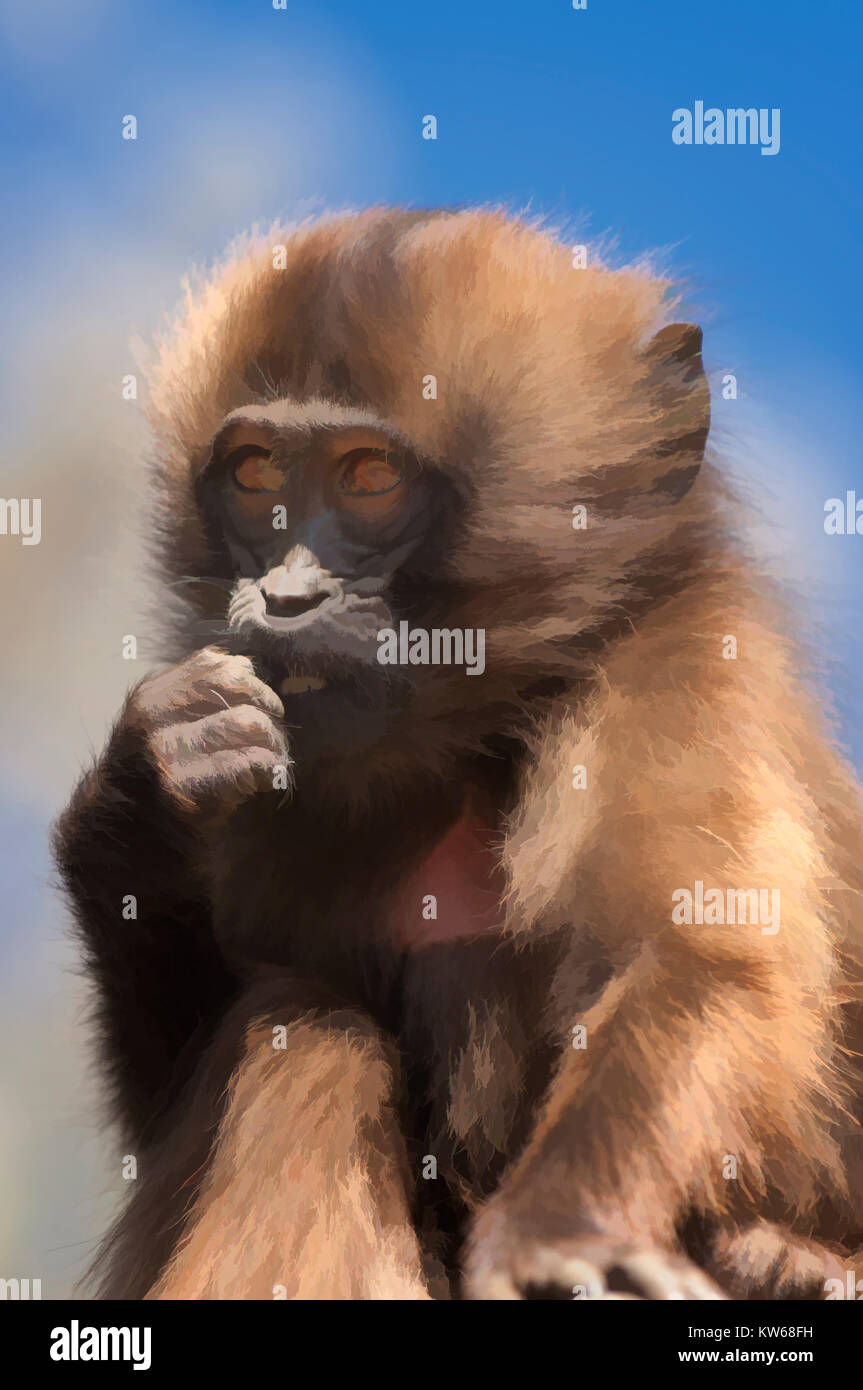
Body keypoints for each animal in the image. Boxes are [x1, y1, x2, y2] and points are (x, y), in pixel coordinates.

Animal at [54, 208, 863, 1301]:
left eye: (369, 478)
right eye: (256, 475)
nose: (285, 600)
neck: (468, 742)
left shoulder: (675, 660)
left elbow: (693, 961)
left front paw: (559, 1230)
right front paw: (151, 782)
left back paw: (784, 1262)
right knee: (308, 1033)